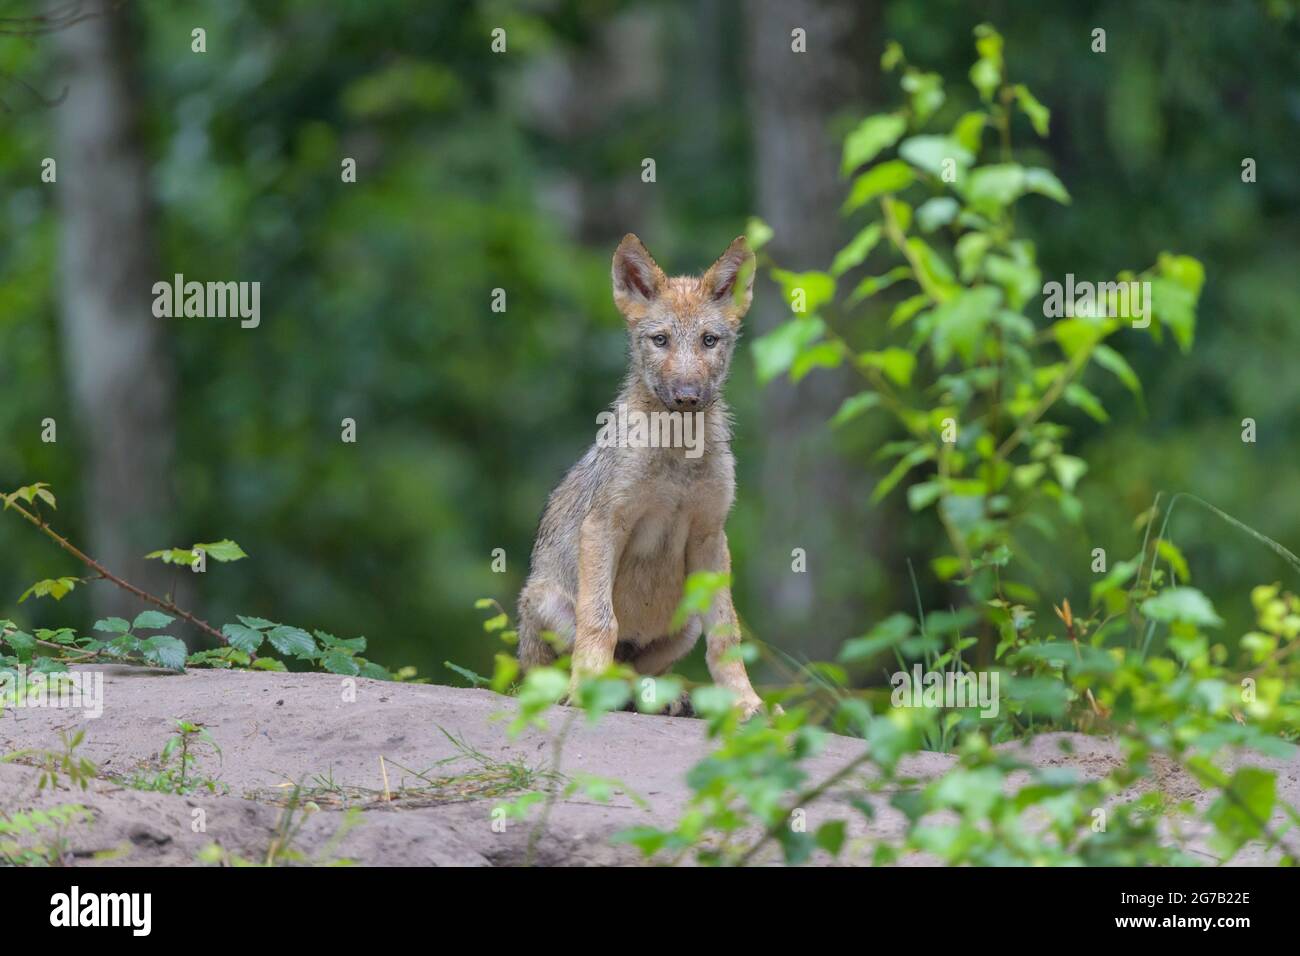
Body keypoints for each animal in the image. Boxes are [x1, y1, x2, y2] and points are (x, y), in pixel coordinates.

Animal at [516, 233, 767, 718]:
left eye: (709, 340)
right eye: (660, 339)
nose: (687, 396)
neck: (677, 456)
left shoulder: (711, 537)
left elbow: (726, 637)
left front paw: (747, 704)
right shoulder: (603, 526)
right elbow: (601, 622)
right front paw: (586, 690)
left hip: (685, 622)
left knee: (639, 674)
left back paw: (667, 699)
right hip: (545, 601)